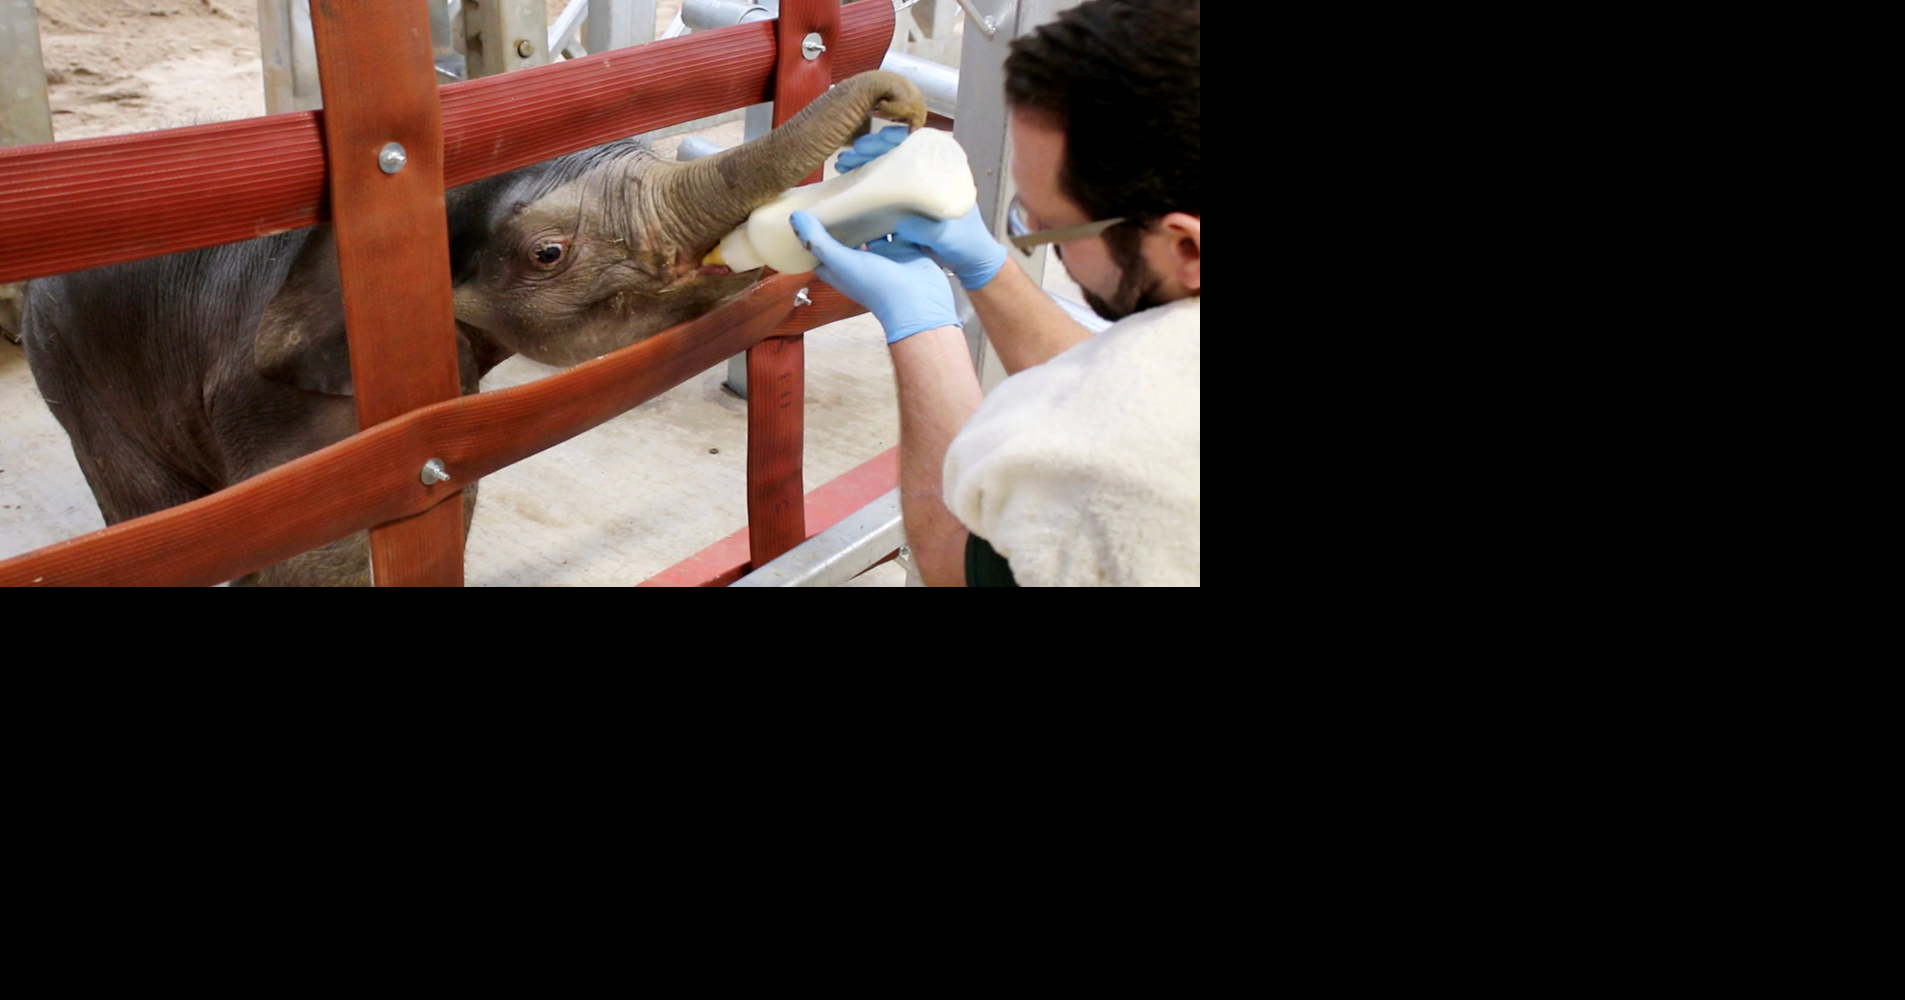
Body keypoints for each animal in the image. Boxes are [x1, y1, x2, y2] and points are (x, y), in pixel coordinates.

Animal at [19, 71, 927, 585]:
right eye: (549, 254)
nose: (903, 107)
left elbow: (453, 507)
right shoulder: (291, 405)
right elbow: (322, 555)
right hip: (74, 375)